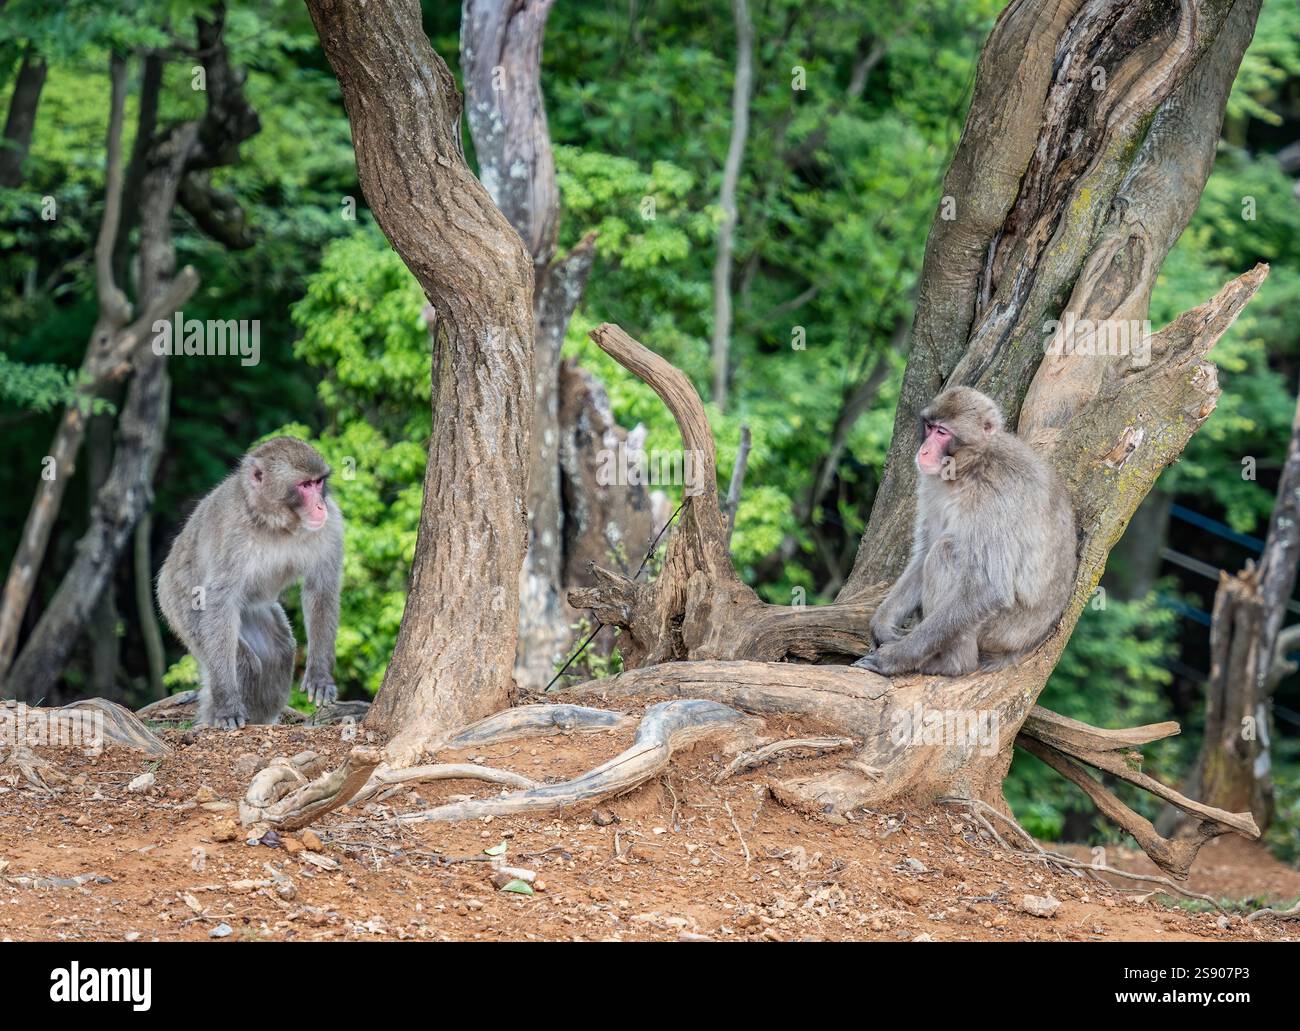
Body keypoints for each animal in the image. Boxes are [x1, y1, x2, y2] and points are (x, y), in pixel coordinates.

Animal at [157, 437, 343, 729]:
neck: (274, 522)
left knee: (280, 652)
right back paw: (215, 717)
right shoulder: (231, 535)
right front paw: (227, 707)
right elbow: (219, 600)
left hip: (254, 613)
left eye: (318, 483)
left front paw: (320, 675)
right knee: (240, 658)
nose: (320, 507)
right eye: (304, 486)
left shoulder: (331, 526)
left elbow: (321, 588)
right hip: (177, 605)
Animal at [853, 386, 1076, 677]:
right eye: (929, 426)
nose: (924, 450)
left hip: (1003, 630)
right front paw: (882, 625)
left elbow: (988, 587)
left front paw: (893, 658)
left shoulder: (995, 496)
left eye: (942, 432)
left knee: (947, 550)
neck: (970, 468)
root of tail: (1024, 644)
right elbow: (923, 552)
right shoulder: (933, 483)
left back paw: (954, 663)